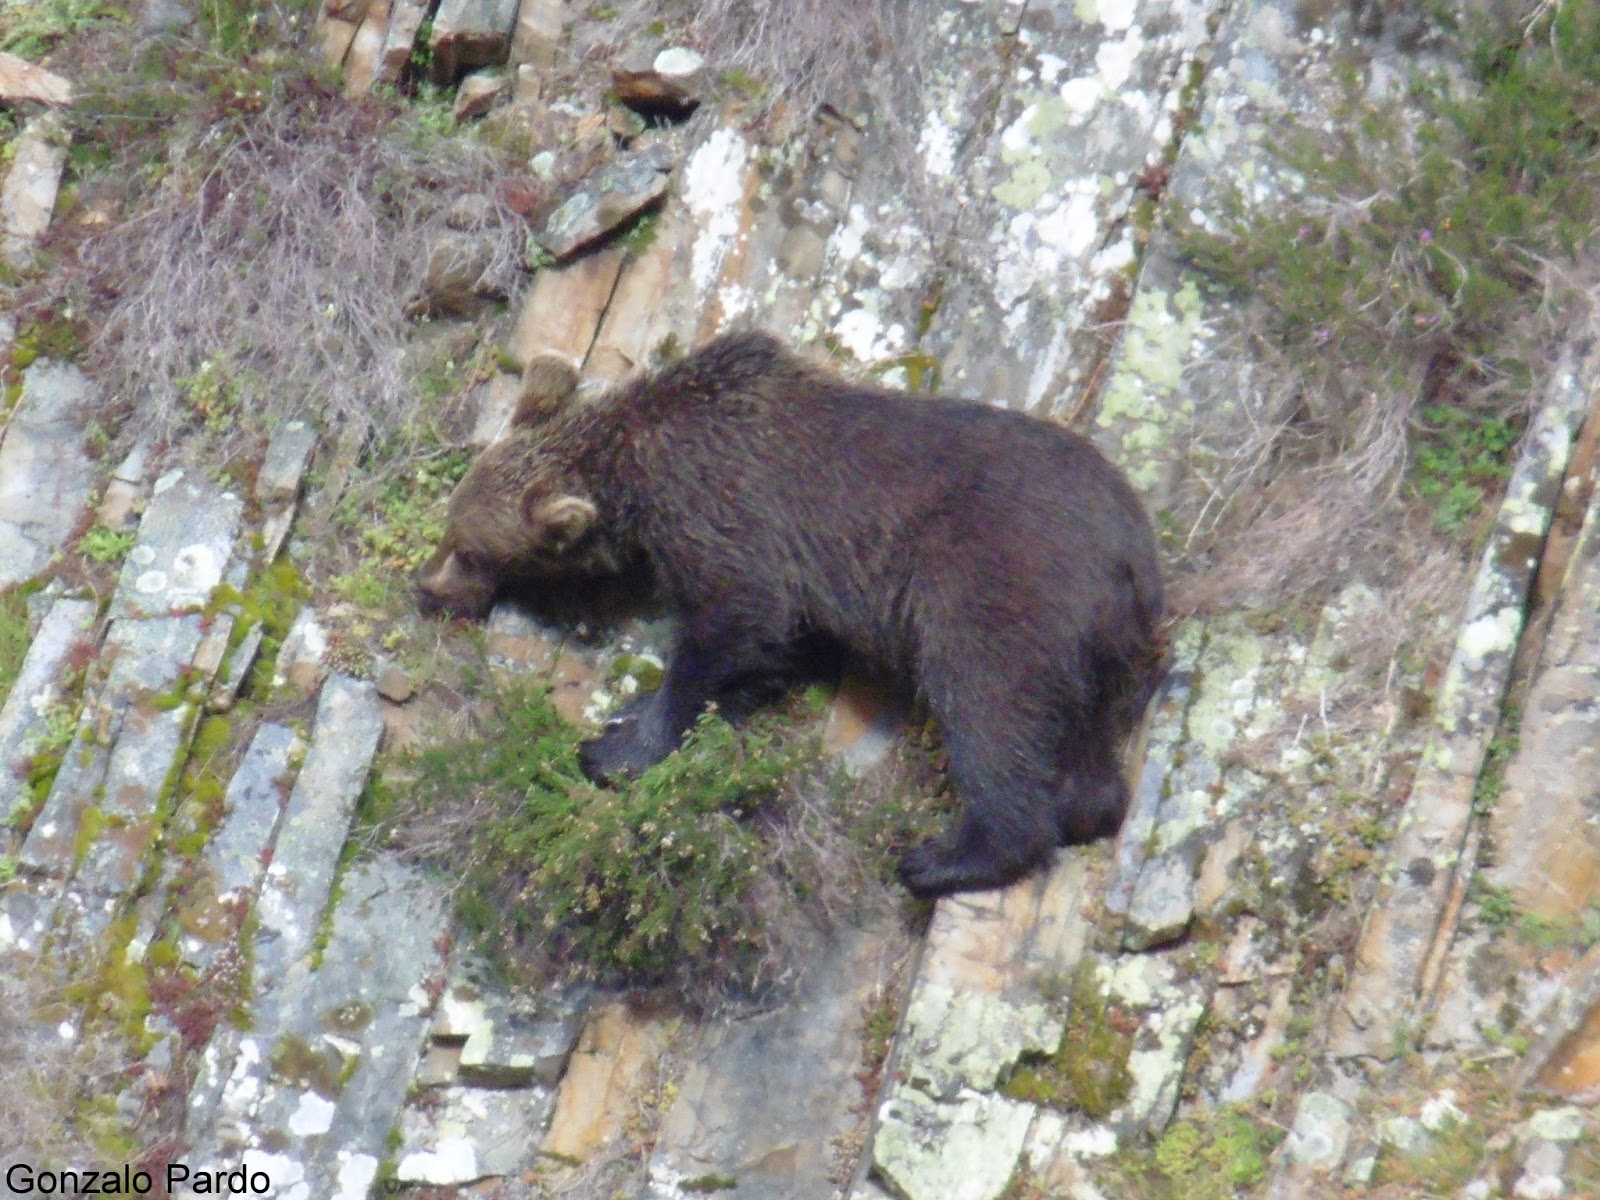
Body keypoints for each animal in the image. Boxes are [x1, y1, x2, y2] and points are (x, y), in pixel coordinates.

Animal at [418, 330, 1164, 898]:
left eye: (469, 550)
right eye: (450, 529)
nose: (427, 590)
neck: (634, 467)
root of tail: (1133, 547)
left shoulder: (728, 508)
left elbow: (737, 617)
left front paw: (617, 746)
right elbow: (774, 650)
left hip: (997, 578)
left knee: (989, 701)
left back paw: (946, 856)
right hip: (1101, 643)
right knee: (1082, 730)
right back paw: (1087, 805)